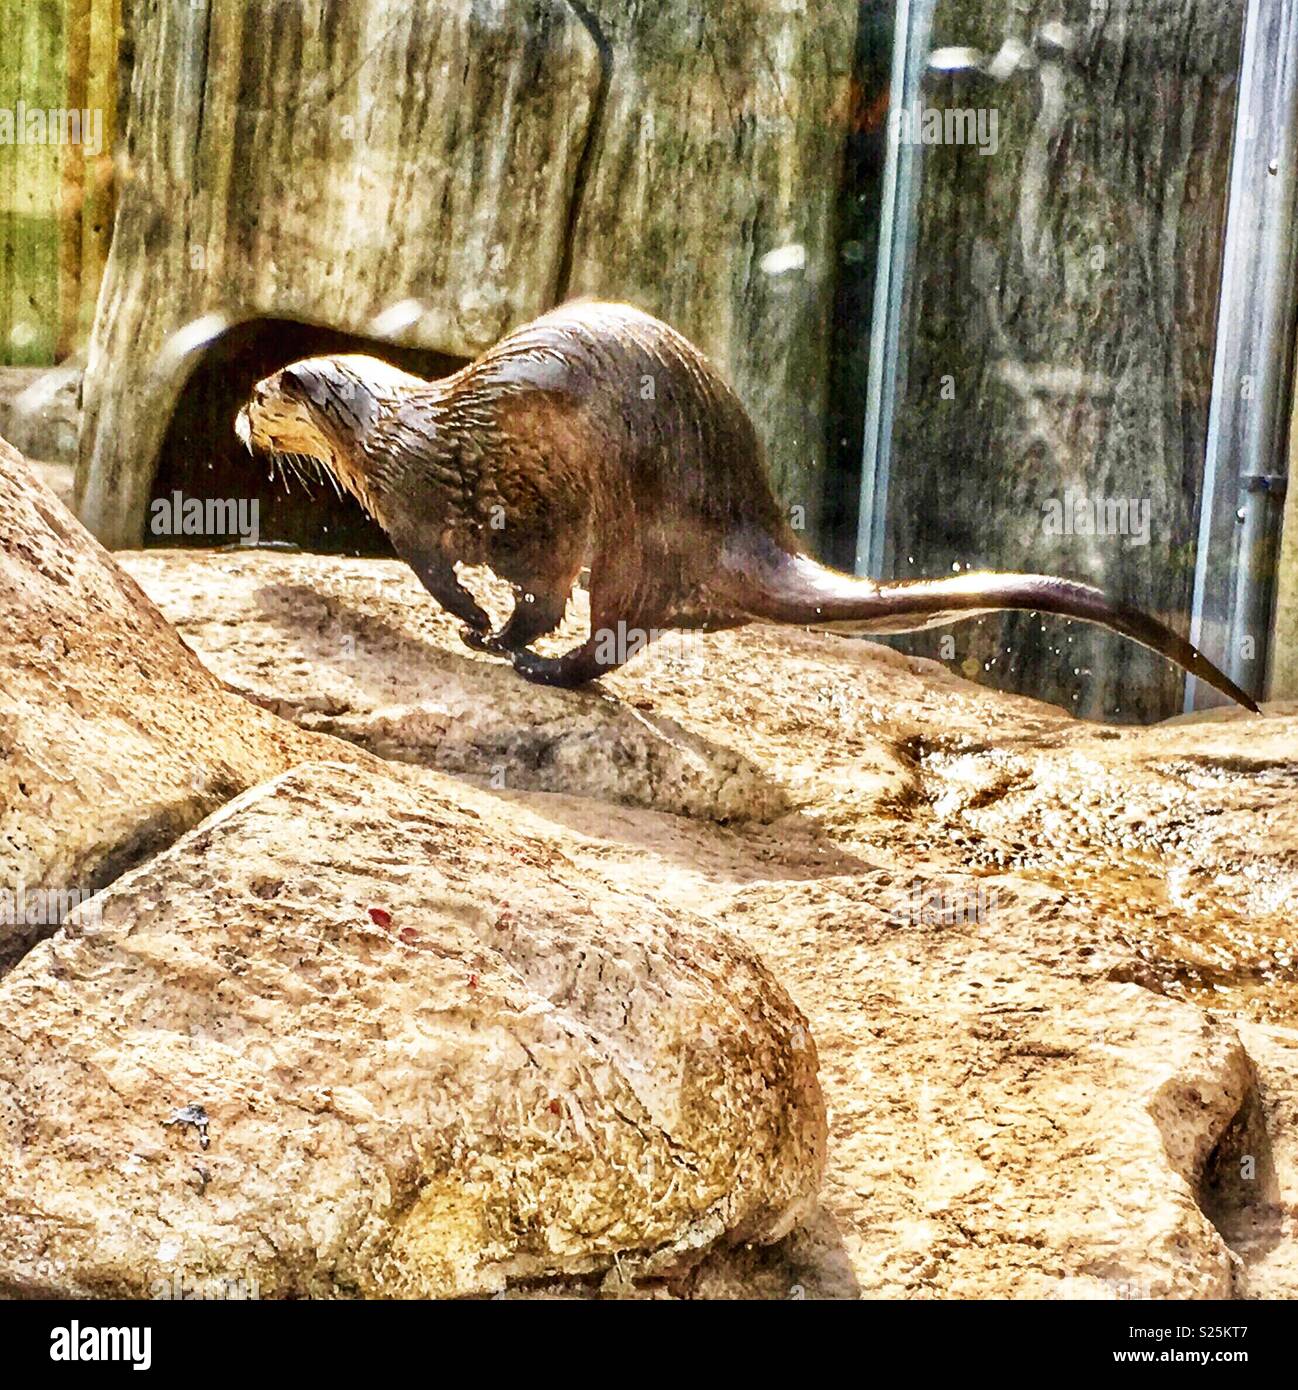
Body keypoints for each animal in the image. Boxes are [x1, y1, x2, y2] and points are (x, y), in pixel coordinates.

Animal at [235, 300, 1257, 711]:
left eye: (255, 393)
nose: (239, 420)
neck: (389, 430)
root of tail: (749, 520)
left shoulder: (414, 507)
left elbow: (453, 575)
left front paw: (474, 625)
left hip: (623, 526)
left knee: (595, 622)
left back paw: (533, 664)